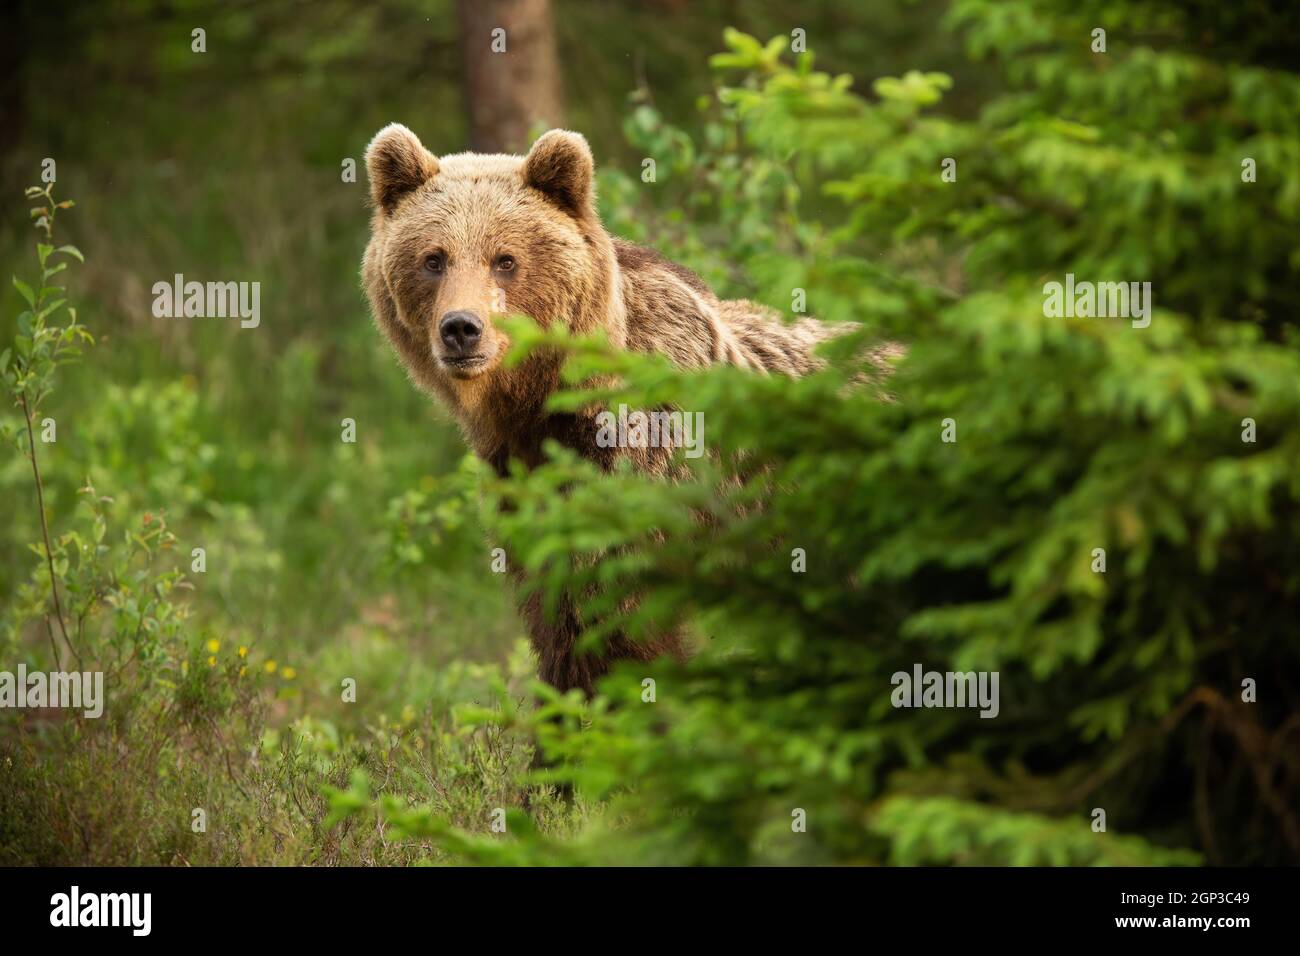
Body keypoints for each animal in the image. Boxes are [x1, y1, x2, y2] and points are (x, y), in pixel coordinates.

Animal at [362, 124, 852, 693]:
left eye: (505, 259)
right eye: (433, 258)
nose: (461, 328)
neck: (548, 403)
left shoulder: (648, 468)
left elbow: (613, 622)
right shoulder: (523, 480)